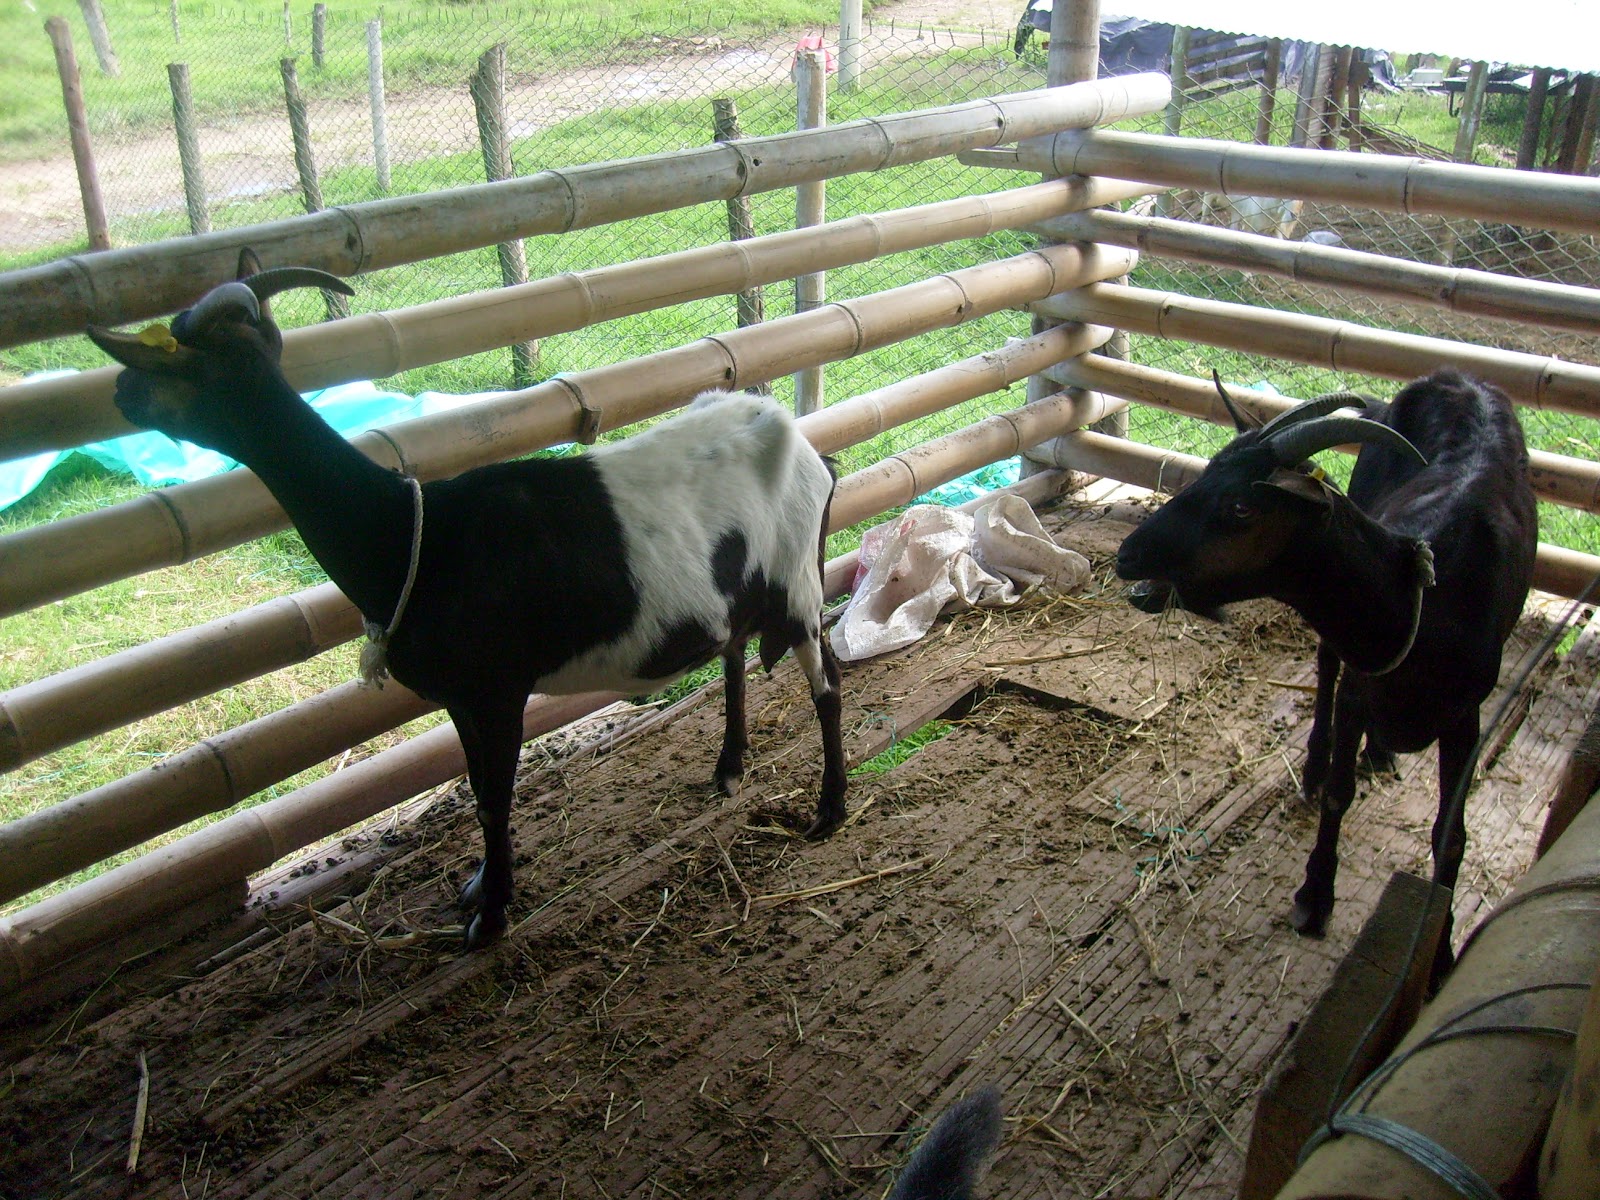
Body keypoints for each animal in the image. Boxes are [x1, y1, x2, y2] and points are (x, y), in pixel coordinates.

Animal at [88, 250, 848, 950]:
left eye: (176, 361)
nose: (121, 389)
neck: (409, 534)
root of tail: (807, 447)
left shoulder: (498, 689)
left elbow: (494, 800)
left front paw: (490, 918)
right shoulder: (460, 697)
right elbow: (480, 791)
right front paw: (481, 891)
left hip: (799, 586)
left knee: (828, 684)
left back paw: (829, 812)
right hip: (739, 593)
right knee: (734, 654)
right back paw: (729, 770)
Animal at [1115, 370, 1537, 972]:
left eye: (1241, 507)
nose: (1128, 555)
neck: (1424, 606)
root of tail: (1455, 377)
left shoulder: (1466, 715)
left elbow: (1450, 835)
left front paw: (1442, 950)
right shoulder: (1361, 688)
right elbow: (1339, 791)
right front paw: (1315, 896)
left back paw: (1379, 753)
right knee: (1324, 665)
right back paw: (1319, 764)